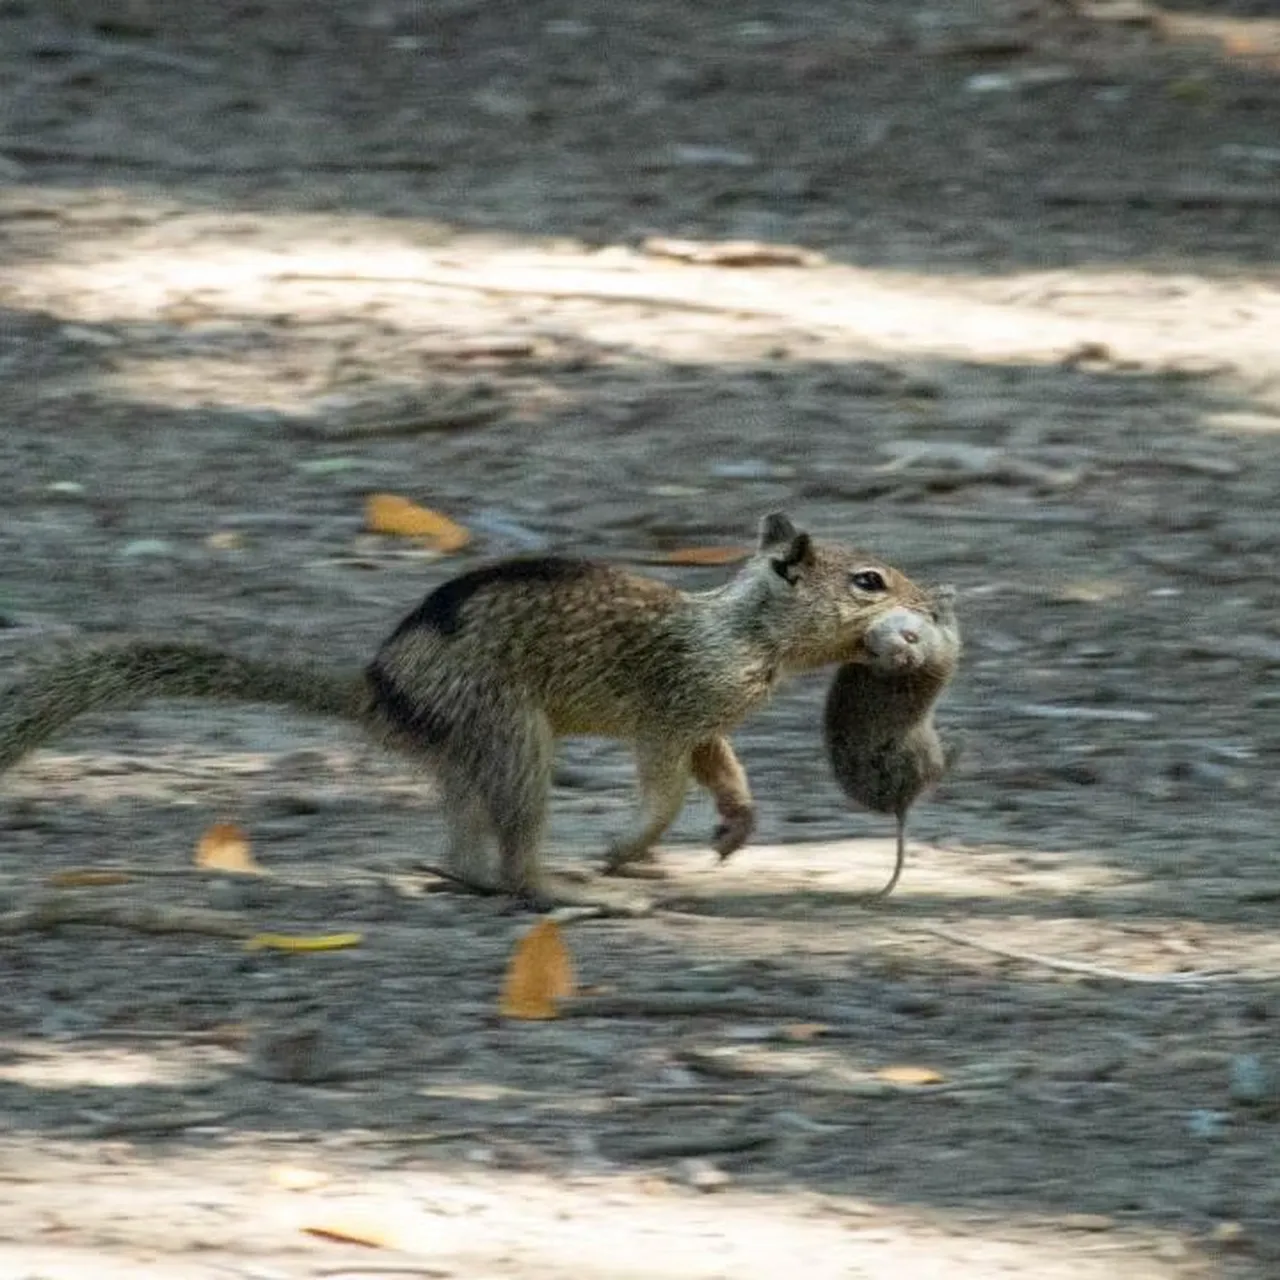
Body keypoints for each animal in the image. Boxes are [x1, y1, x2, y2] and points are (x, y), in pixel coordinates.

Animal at [0, 512, 937, 914]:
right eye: (868, 581)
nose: (930, 605)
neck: (745, 628)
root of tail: (375, 689)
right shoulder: (672, 711)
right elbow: (667, 784)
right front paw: (626, 845)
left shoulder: (708, 720)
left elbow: (723, 769)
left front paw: (735, 826)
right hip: (511, 734)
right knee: (516, 851)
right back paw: (562, 886)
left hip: (465, 752)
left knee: (461, 846)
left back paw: (469, 874)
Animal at [822, 584, 962, 900]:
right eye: (873, 651)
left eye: (910, 637)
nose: (904, 659)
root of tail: (900, 805)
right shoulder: (945, 651)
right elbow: (952, 634)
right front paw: (943, 598)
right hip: (925, 750)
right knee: (938, 772)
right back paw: (957, 744)